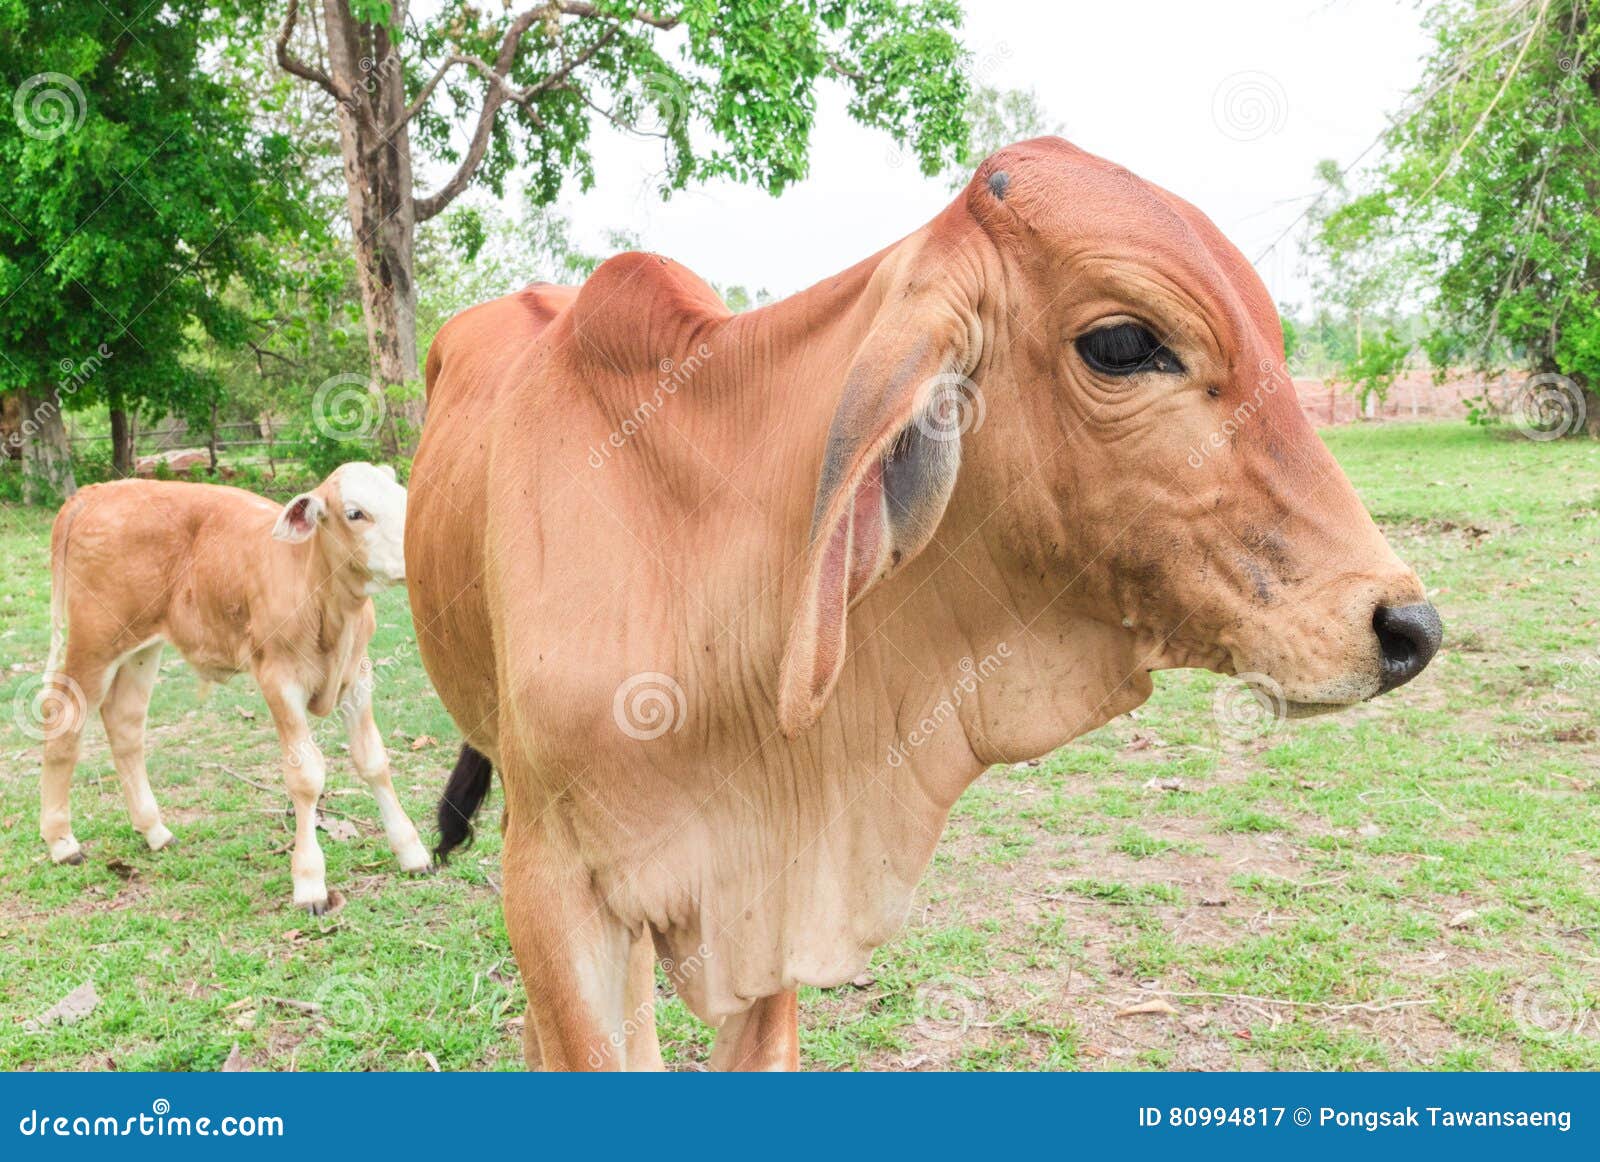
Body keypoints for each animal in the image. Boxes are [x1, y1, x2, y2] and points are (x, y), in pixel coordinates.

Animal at [38, 462, 428, 913]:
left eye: (403, 498)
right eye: (355, 513)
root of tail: (97, 492)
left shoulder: (358, 676)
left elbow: (373, 760)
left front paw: (411, 850)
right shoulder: (278, 679)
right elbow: (306, 775)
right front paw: (309, 881)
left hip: (140, 648)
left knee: (125, 725)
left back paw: (155, 830)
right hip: (93, 642)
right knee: (64, 721)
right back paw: (61, 842)